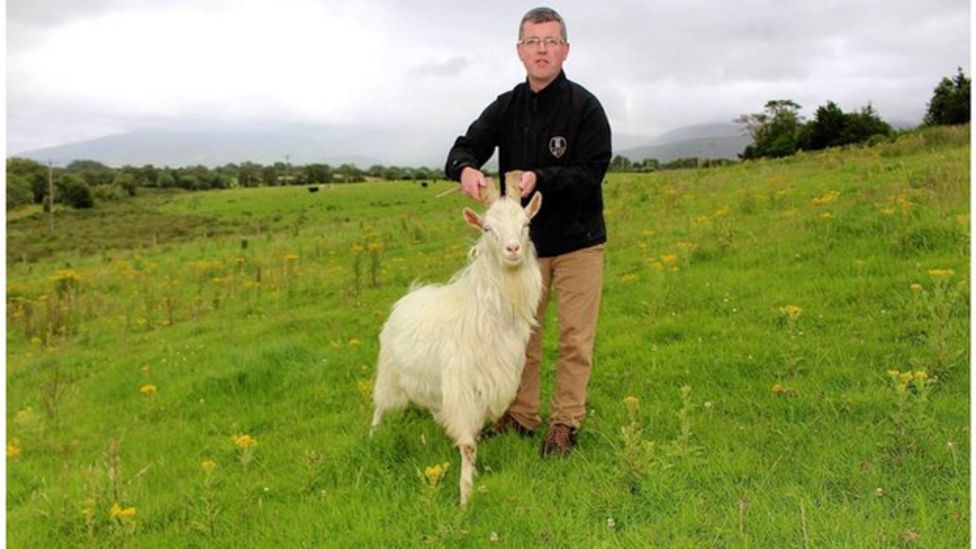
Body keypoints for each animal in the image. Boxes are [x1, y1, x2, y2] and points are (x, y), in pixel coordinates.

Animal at [371, 171, 542, 505]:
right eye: (487, 228)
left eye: (526, 224)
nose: (513, 250)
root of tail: (410, 294)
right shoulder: (462, 389)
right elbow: (468, 445)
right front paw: (465, 496)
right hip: (389, 372)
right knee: (380, 405)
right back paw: (373, 435)